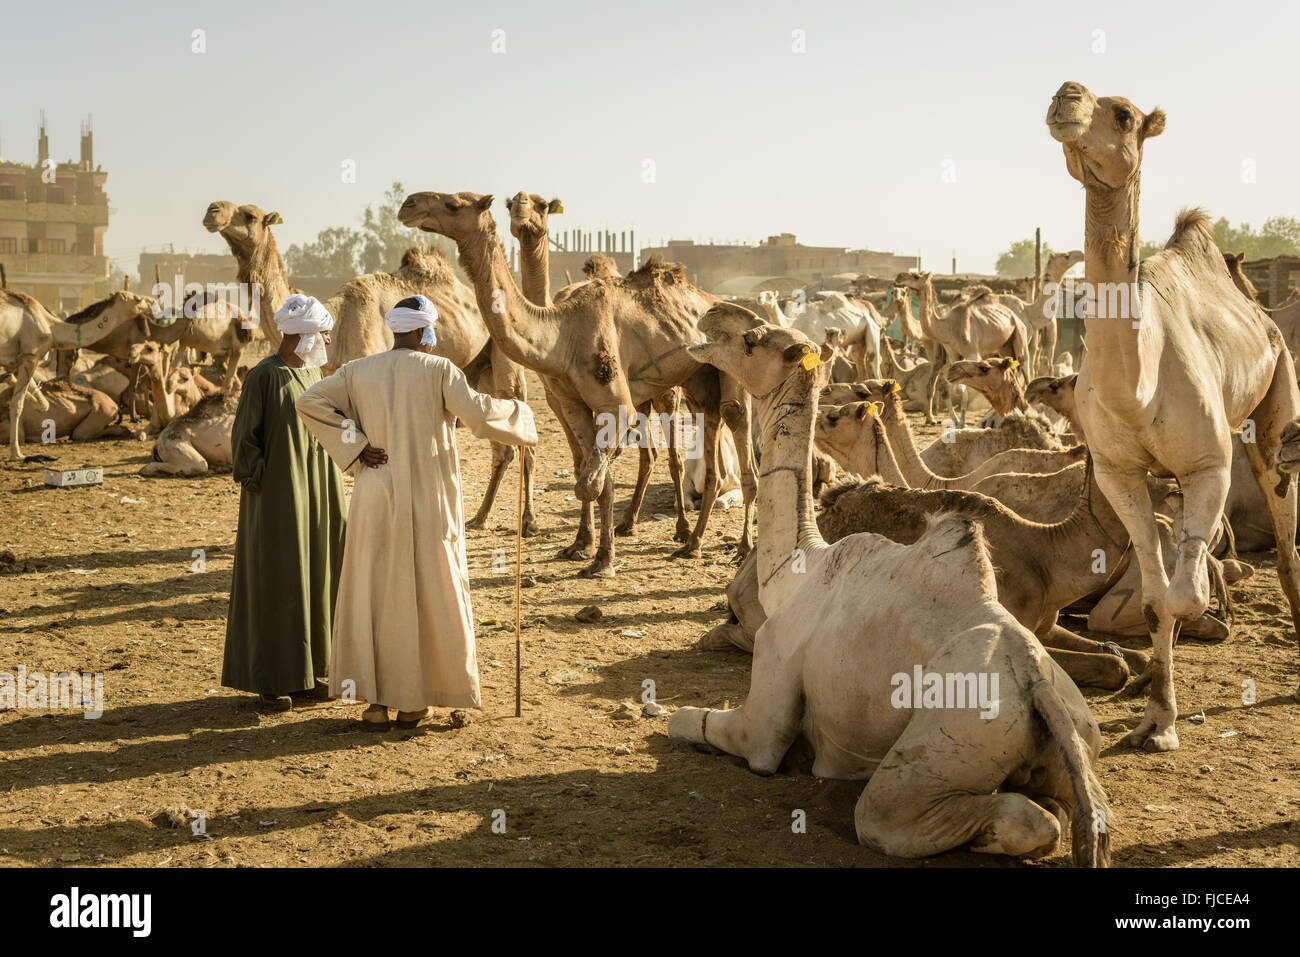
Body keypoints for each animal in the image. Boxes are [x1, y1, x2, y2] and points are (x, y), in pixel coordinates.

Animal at [1, 289, 153, 461]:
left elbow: (42, 403)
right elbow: (17, 405)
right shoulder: (30, 356)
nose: (153, 302)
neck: (52, 328)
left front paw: (7, 378)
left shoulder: (16, 362)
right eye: (137, 299)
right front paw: (16, 454)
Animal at [205, 199, 537, 536]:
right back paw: (479, 516)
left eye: (250, 216)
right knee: (501, 445)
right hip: (480, 371)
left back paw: (528, 521)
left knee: (521, 442)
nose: (213, 211)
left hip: (506, 360)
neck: (338, 327)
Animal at [400, 190, 756, 577]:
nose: (408, 204)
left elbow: (590, 483)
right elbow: (594, 476)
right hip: (700, 384)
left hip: (718, 380)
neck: (561, 333)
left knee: (737, 437)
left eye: (453, 203)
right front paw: (593, 552)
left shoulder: (616, 403)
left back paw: (738, 547)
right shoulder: (570, 402)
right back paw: (691, 544)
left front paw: (598, 554)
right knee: (711, 458)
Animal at [672, 308, 1110, 866]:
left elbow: (696, 722)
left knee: (901, 814)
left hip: (952, 738)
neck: (794, 571)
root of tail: (1038, 689)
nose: (710, 314)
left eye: (751, 339)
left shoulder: (769, 689)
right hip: (1079, 736)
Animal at [1047, 81, 1300, 750]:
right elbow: (1159, 597)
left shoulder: (1209, 467)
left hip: (1276, 399)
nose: (1065, 96)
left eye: (1122, 115)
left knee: (1283, 519)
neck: (1137, 388)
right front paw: (1157, 717)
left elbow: (1183, 595)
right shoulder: (1119, 472)